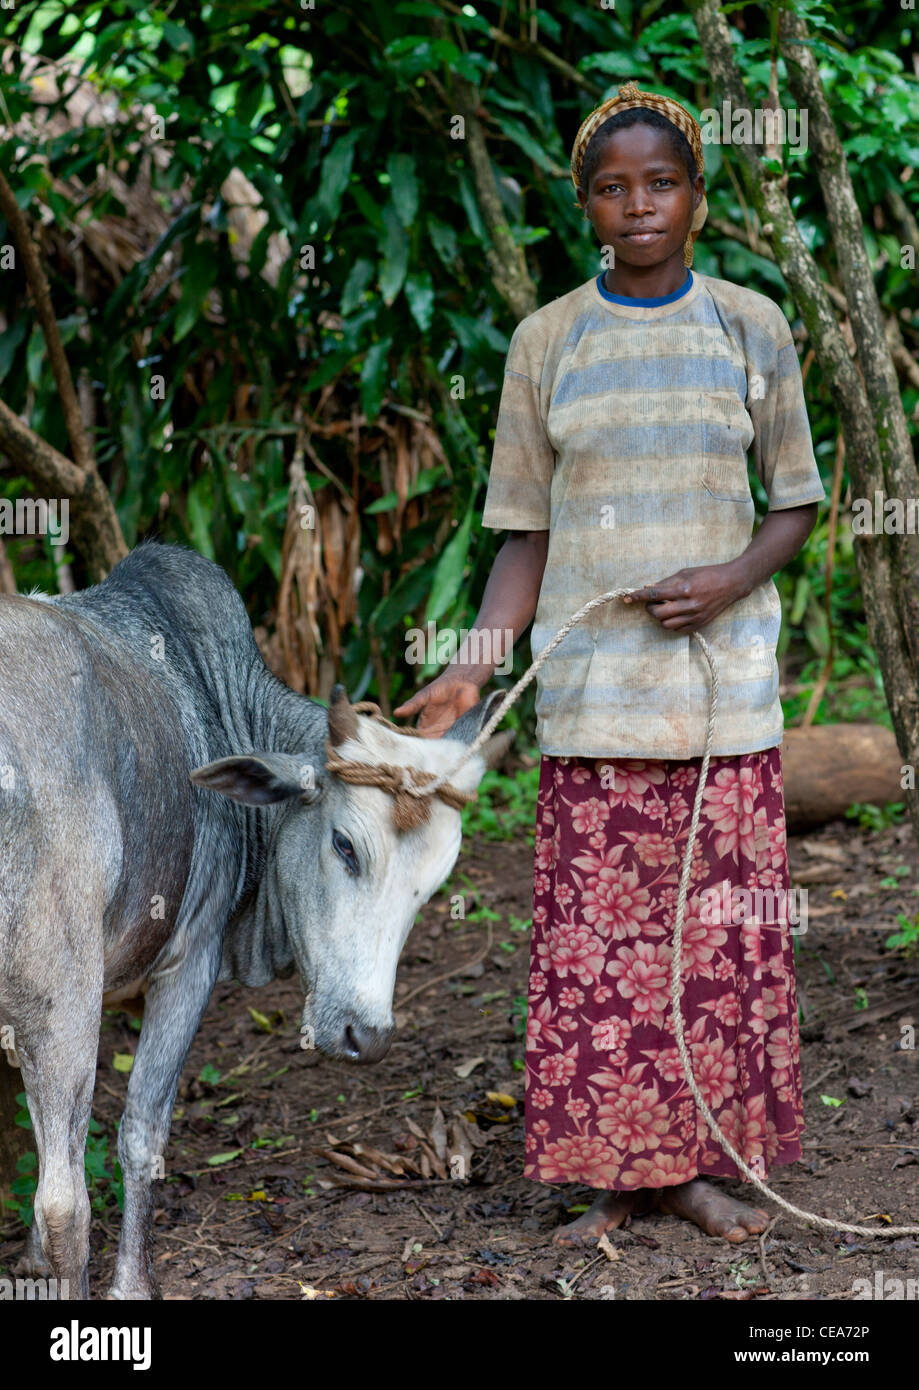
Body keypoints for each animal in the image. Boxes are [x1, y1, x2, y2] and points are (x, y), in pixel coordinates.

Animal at [0, 542, 506, 1299]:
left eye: (434, 885)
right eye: (344, 845)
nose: (366, 1035)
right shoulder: (188, 961)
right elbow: (141, 1136)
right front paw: (132, 1286)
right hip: (66, 998)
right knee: (65, 1203)